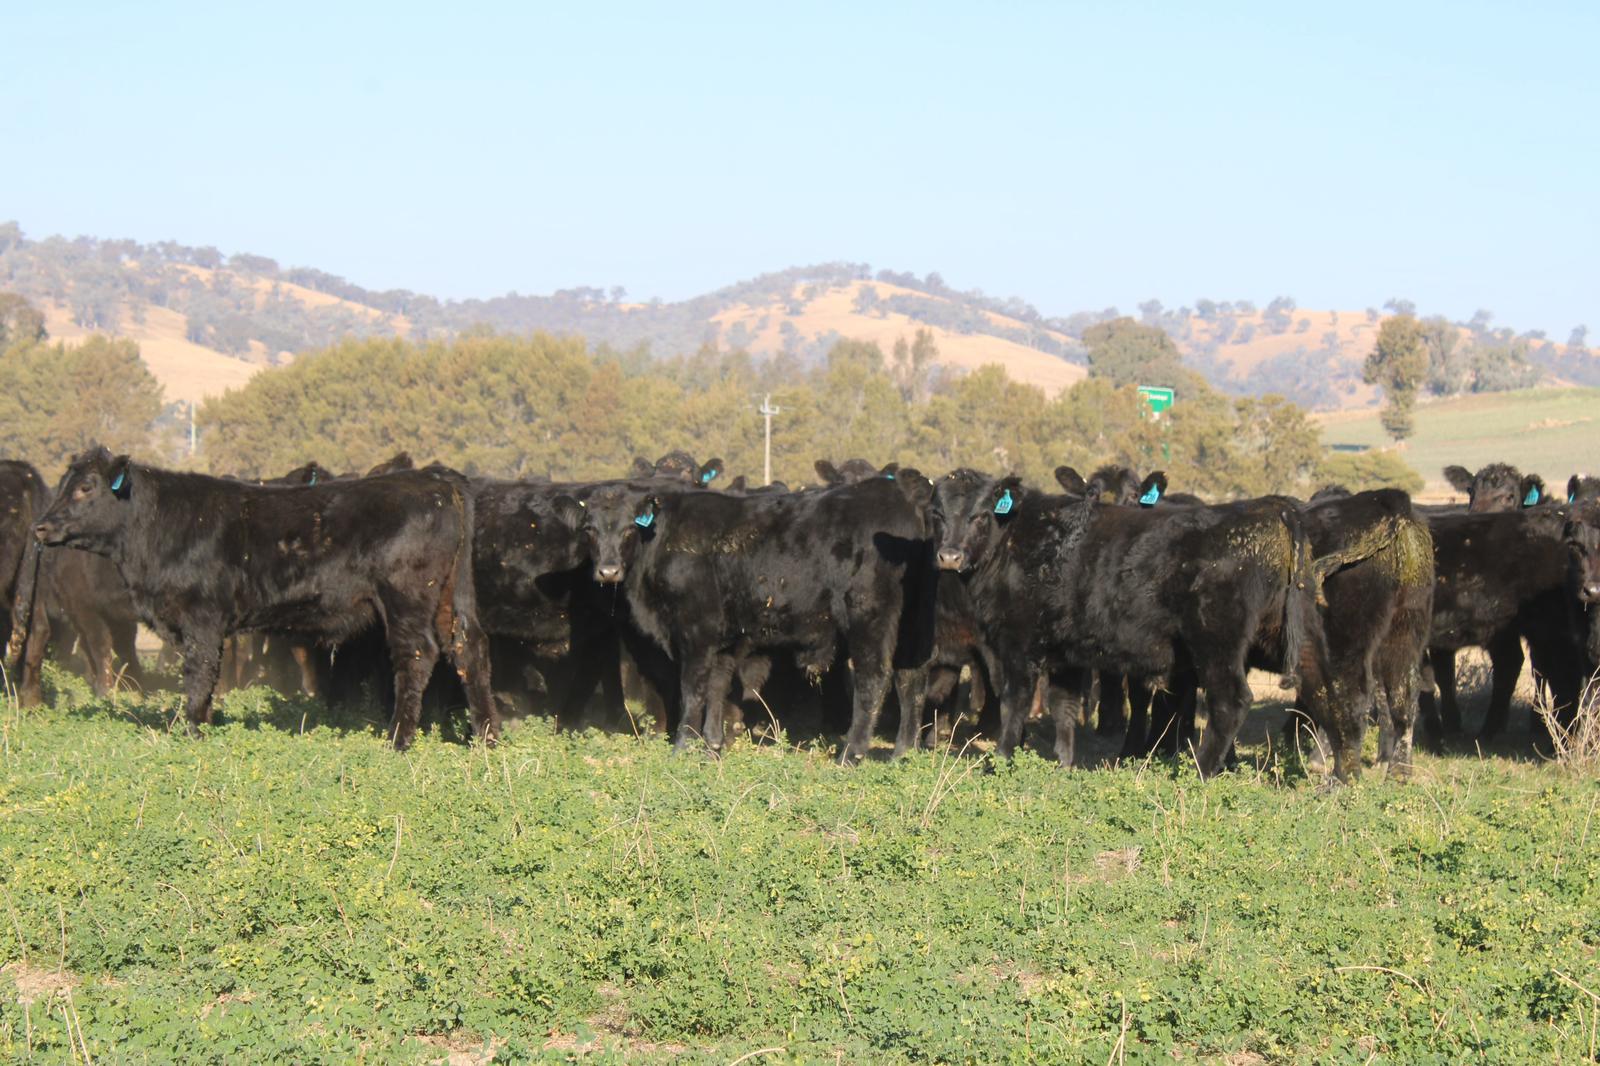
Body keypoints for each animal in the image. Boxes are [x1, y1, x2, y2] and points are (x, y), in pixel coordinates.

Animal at [27, 447, 498, 750]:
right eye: (65, 483)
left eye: (87, 487)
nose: (41, 527)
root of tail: (433, 479)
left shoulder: (202, 618)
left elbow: (199, 673)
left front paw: (192, 730)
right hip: (451, 599)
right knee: (469, 649)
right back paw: (486, 738)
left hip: (406, 600)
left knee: (416, 656)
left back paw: (399, 739)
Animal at [571, 476, 932, 762]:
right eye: (589, 529)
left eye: (629, 528)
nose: (607, 571)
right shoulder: (724, 640)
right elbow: (717, 686)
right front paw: (712, 746)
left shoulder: (696, 631)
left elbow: (693, 689)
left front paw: (683, 747)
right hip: (911, 626)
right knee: (911, 679)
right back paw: (903, 752)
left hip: (868, 617)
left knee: (874, 678)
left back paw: (851, 754)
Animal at [930, 470, 1323, 778]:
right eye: (937, 514)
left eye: (981, 515)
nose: (949, 556)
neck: (1017, 539)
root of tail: (1270, 507)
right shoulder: (1065, 652)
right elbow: (1063, 707)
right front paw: (1063, 762)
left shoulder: (1018, 646)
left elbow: (1014, 704)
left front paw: (1001, 759)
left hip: (1216, 645)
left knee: (1231, 702)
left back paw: (1200, 771)